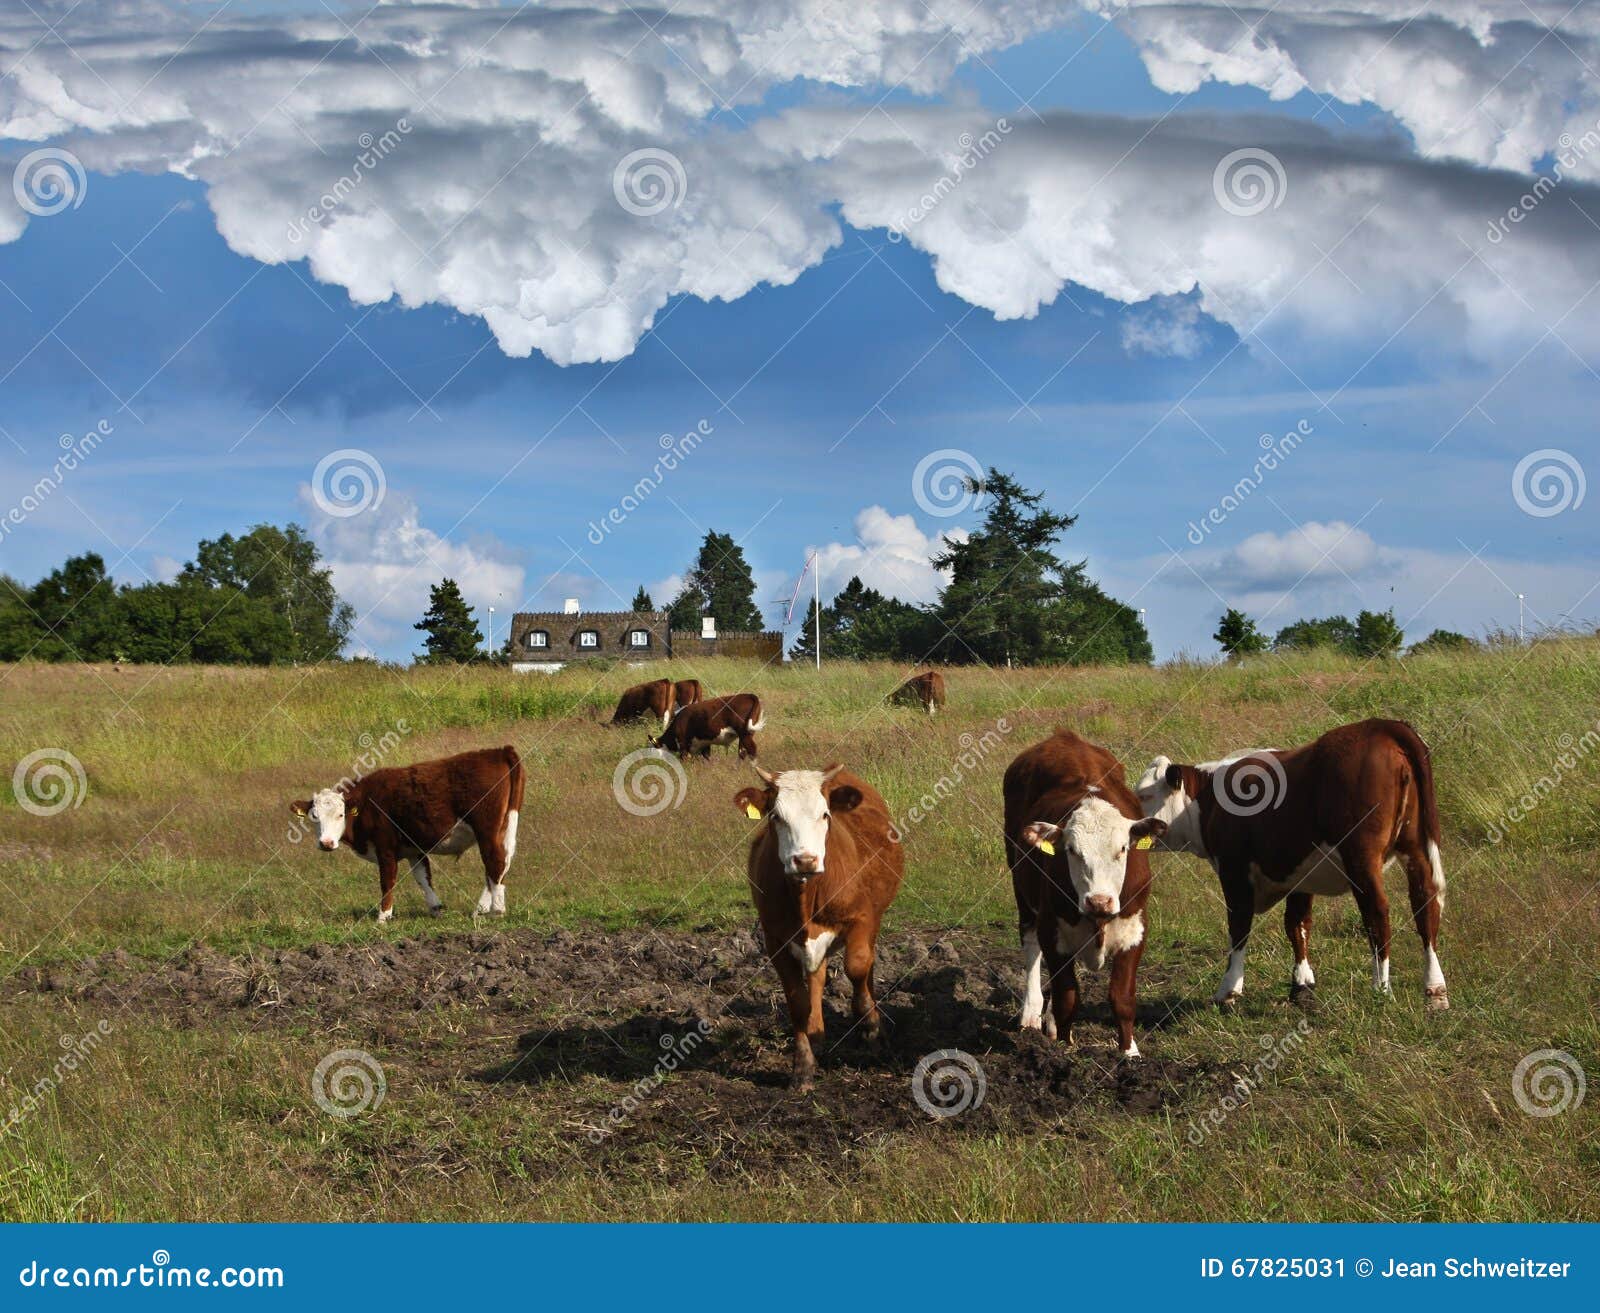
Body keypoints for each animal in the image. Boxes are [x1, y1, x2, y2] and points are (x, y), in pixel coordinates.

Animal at [291, 745, 524, 923]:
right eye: (314, 816)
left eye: (341, 815)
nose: (326, 843)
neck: (367, 802)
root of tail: (499, 751)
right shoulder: (414, 849)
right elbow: (423, 878)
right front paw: (436, 909)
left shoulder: (385, 847)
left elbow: (387, 881)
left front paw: (383, 917)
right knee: (500, 865)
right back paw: (481, 910)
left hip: (487, 829)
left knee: (495, 862)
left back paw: (496, 910)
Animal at [734, 762, 904, 1090]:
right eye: (776, 816)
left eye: (825, 814)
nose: (805, 860)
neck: (806, 895)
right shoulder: (775, 940)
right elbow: (797, 1001)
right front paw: (803, 1067)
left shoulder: (862, 919)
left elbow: (858, 967)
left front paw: (871, 1029)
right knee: (817, 975)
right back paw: (818, 1033)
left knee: (867, 963)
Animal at [1003, 730, 1166, 1057]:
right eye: (1071, 850)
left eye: (1123, 848)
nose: (1099, 901)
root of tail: (1064, 738)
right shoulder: (1051, 929)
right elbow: (1067, 998)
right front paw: (1064, 1050)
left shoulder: (1136, 928)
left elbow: (1122, 998)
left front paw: (1130, 1053)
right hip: (1021, 890)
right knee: (1030, 945)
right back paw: (1031, 1013)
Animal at [1134, 718, 1448, 1010]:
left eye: (1145, 795)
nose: (1132, 823)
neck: (1207, 800)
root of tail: (1380, 726)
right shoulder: (1301, 874)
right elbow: (1297, 924)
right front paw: (1302, 985)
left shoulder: (1234, 869)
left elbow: (1239, 925)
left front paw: (1228, 990)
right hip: (1416, 849)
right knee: (1426, 905)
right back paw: (1435, 989)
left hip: (1361, 857)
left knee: (1377, 913)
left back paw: (1380, 990)